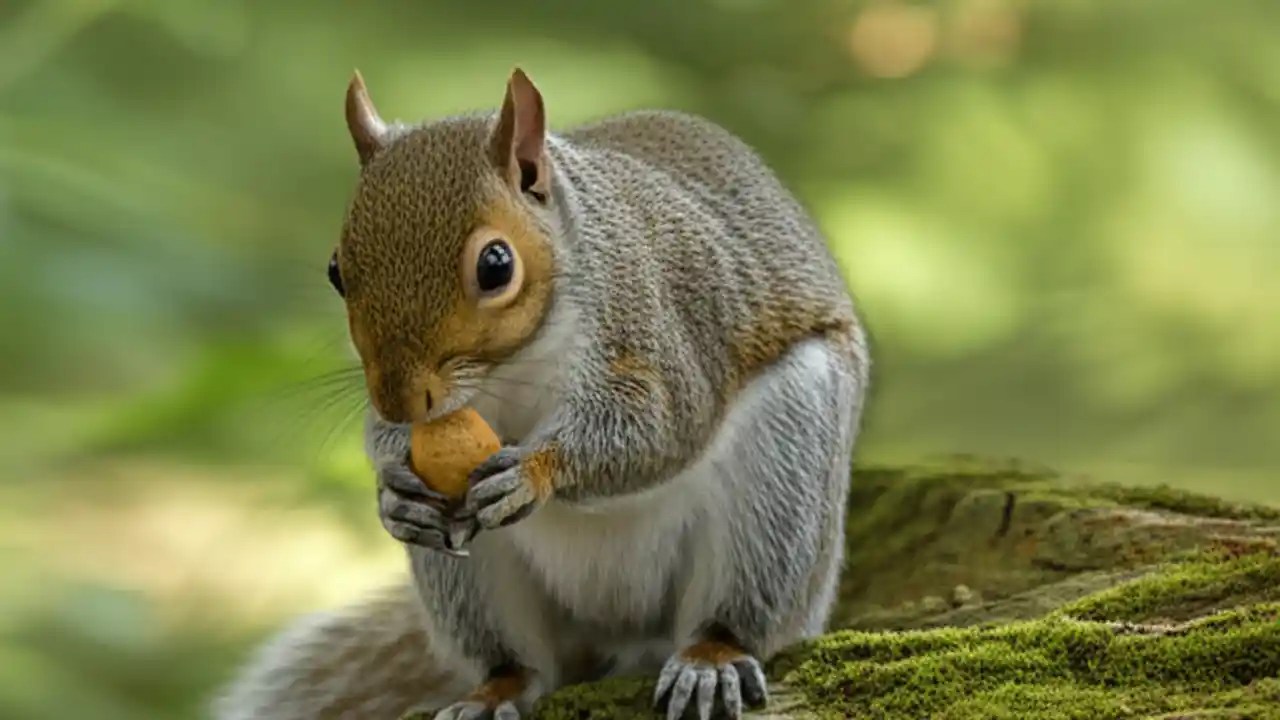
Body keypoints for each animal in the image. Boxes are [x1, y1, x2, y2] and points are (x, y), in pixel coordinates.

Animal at [213, 67, 870, 720]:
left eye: (496, 265)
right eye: (336, 271)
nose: (401, 401)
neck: (508, 365)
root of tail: (623, 636)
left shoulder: (657, 329)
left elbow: (660, 427)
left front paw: (532, 471)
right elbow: (385, 443)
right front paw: (395, 485)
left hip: (784, 478)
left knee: (742, 606)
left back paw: (712, 658)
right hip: (471, 586)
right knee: (519, 661)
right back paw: (493, 690)